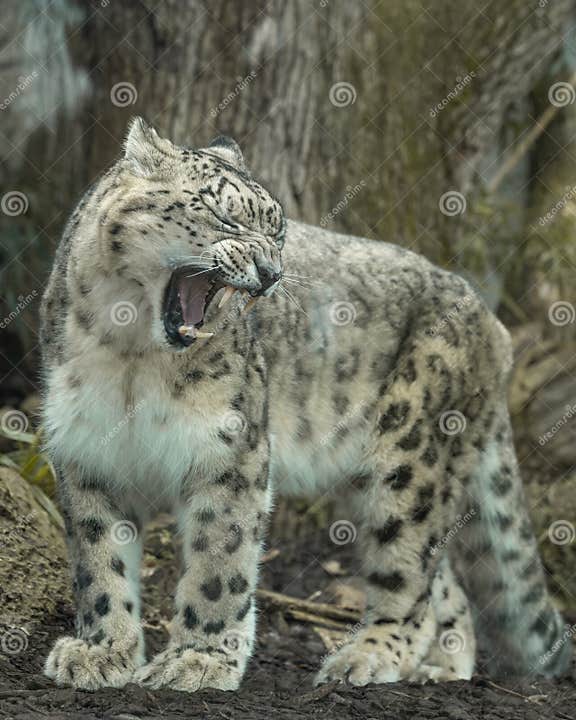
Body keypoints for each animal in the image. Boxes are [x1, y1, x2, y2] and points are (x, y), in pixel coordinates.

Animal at [39, 117, 571, 692]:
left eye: (278, 232)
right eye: (225, 213)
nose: (271, 271)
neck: (131, 354)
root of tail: (492, 325)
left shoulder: (232, 449)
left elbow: (219, 560)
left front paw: (199, 659)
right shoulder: (88, 452)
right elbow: (99, 561)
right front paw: (101, 650)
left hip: (411, 459)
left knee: (409, 572)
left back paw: (367, 657)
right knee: (445, 581)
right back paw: (440, 668)